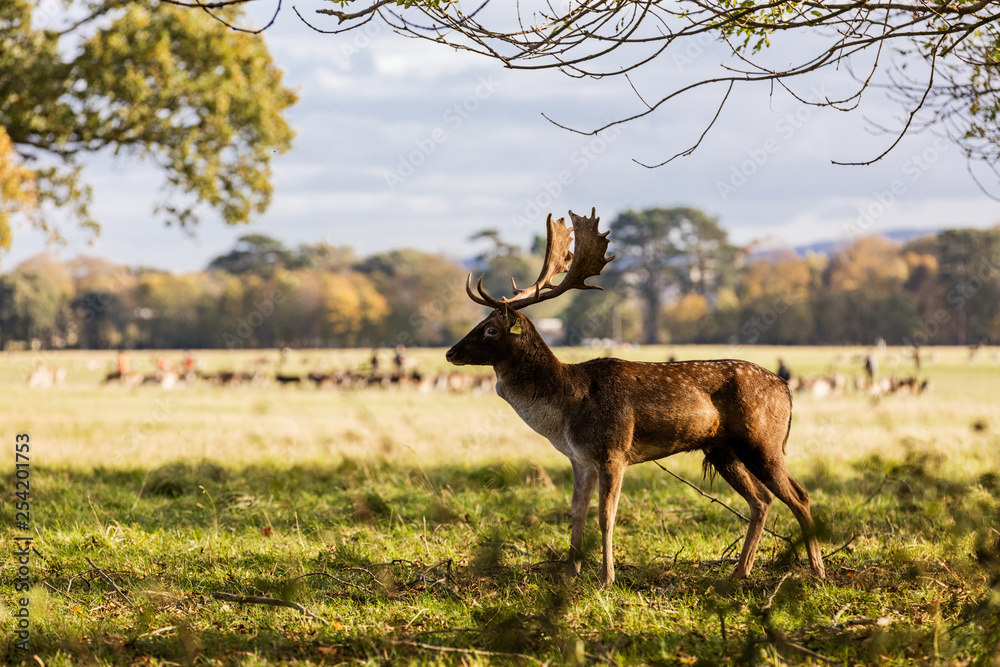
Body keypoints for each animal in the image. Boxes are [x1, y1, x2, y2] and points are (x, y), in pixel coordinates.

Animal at [446, 208, 826, 586]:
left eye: (491, 329)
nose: (450, 352)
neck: (566, 407)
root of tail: (787, 388)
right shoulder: (579, 459)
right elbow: (576, 513)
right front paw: (570, 575)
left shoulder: (614, 451)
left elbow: (606, 516)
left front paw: (606, 578)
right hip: (722, 449)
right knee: (762, 500)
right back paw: (738, 572)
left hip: (762, 440)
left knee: (799, 496)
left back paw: (817, 570)